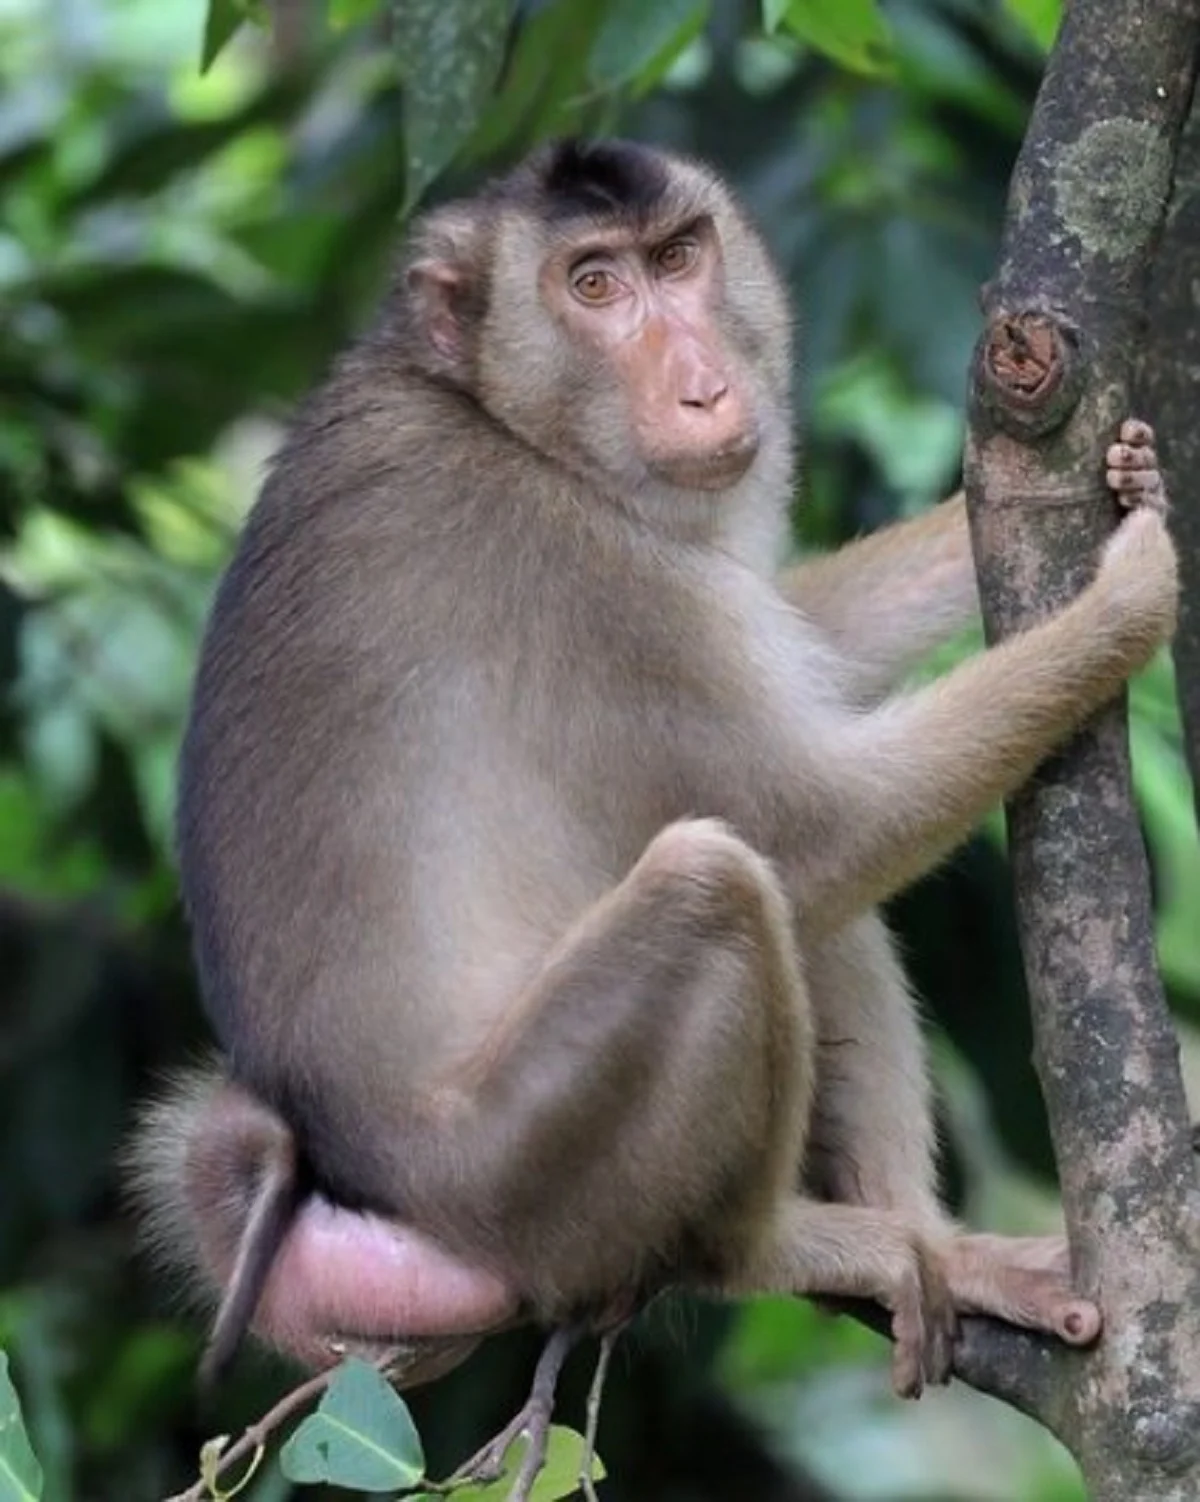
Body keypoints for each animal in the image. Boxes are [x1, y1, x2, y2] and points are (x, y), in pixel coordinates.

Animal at [127, 138, 1175, 1401]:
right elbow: (819, 814)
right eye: (593, 286)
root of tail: (398, 1205)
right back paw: (769, 1246)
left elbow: (811, 658)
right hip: (535, 1168)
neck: (490, 411)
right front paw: (1133, 595)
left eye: (679, 257)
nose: (704, 387)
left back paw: (943, 1244)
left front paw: (1150, 473)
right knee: (722, 879)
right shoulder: (575, 569)